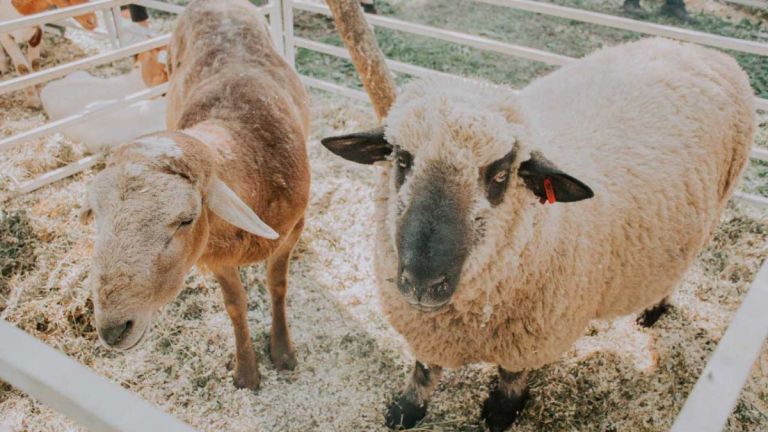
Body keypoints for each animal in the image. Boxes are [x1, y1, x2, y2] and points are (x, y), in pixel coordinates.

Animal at [80, 0, 310, 391]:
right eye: (97, 216)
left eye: (185, 219)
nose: (113, 330)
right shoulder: (213, 255)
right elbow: (235, 304)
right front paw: (246, 370)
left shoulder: (292, 229)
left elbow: (277, 285)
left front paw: (282, 350)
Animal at [320, 37, 754, 431]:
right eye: (402, 159)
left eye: (500, 175)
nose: (423, 283)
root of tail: (703, 50)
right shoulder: (426, 330)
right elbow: (424, 370)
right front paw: (406, 410)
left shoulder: (532, 339)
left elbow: (512, 378)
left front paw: (500, 414)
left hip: (717, 208)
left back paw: (653, 310)